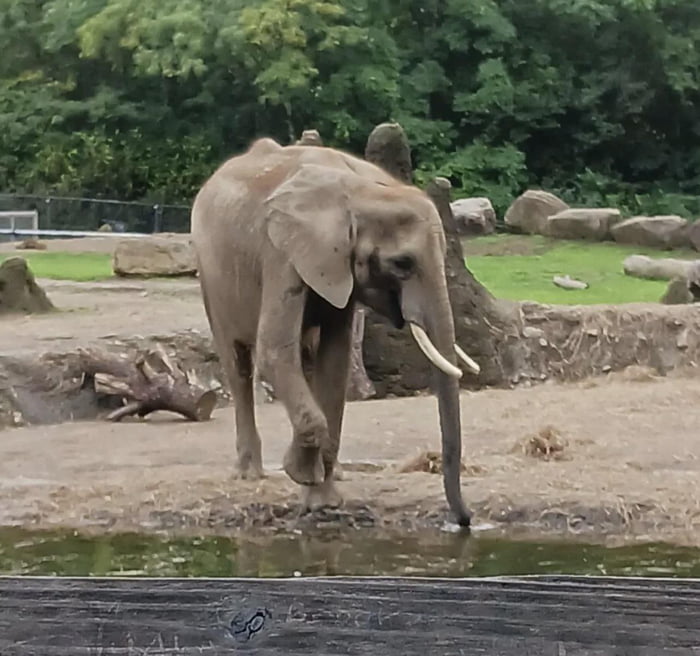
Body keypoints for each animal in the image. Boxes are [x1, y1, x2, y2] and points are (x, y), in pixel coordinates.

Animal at [190, 137, 480, 527]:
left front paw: (323, 501)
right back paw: (249, 474)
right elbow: (274, 351)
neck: (362, 193)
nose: (464, 520)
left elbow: (335, 361)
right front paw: (299, 473)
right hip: (209, 273)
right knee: (237, 363)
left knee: (308, 358)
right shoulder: (280, 254)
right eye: (402, 264)